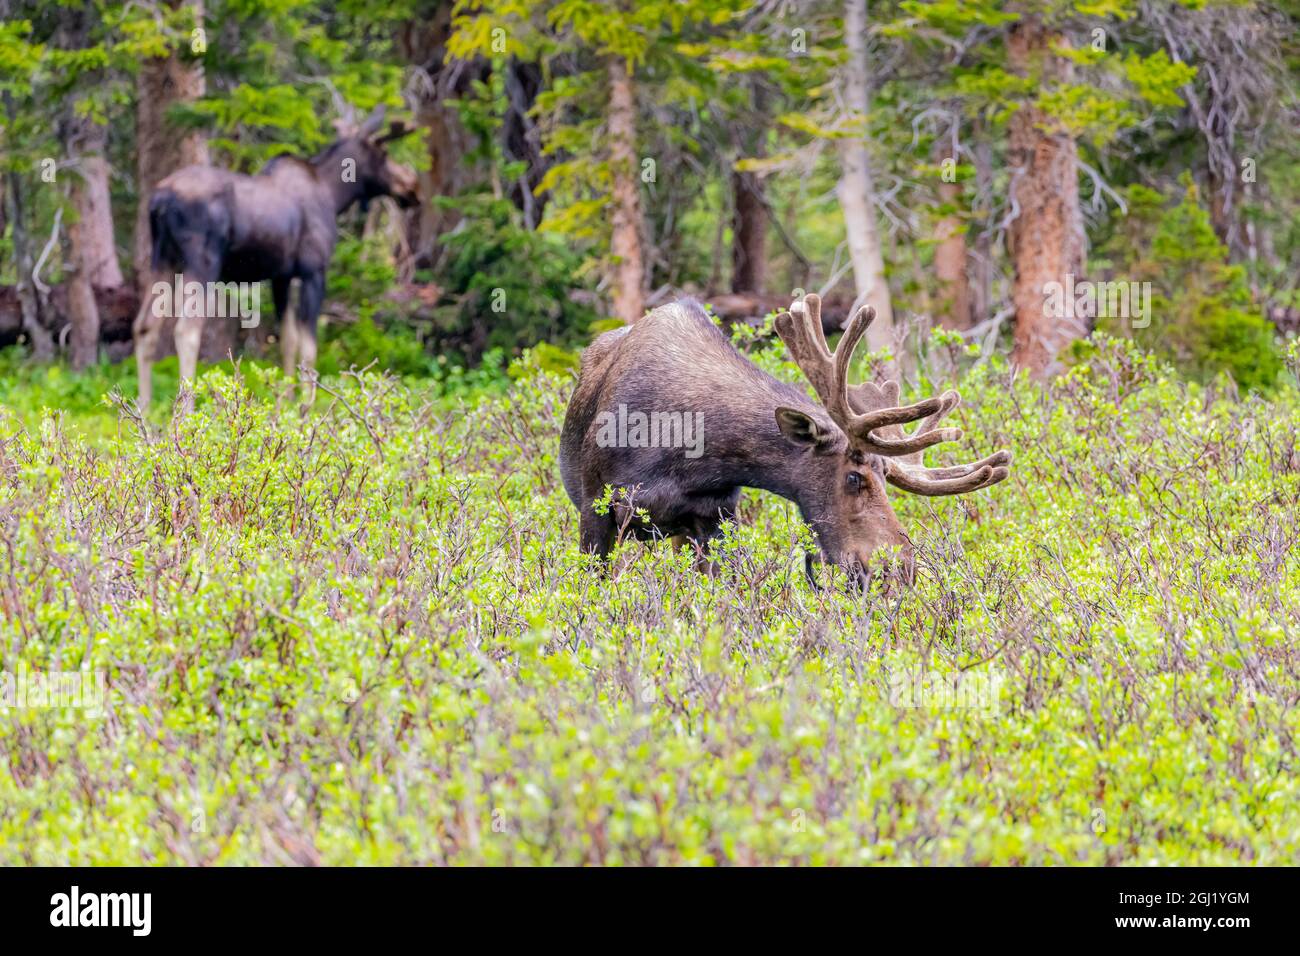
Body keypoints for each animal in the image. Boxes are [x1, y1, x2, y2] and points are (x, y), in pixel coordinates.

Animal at [132, 105, 420, 409]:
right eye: (385, 153)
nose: (413, 186)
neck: (334, 196)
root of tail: (160, 201)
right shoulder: (313, 271)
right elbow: (309, 346)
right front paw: (306, 406)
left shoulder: (281, 277)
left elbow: (288, 340)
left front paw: (286, 404)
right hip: (202, 262)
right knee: (186, 330)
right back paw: (186, 409)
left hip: (163, 260)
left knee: (144, 327)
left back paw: (144, 410)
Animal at [559, 293, 1011, 587]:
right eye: (853, 477)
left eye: (886, 476)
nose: (900, 568)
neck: (691, 453)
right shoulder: (595, 506)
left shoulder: (716, 518)